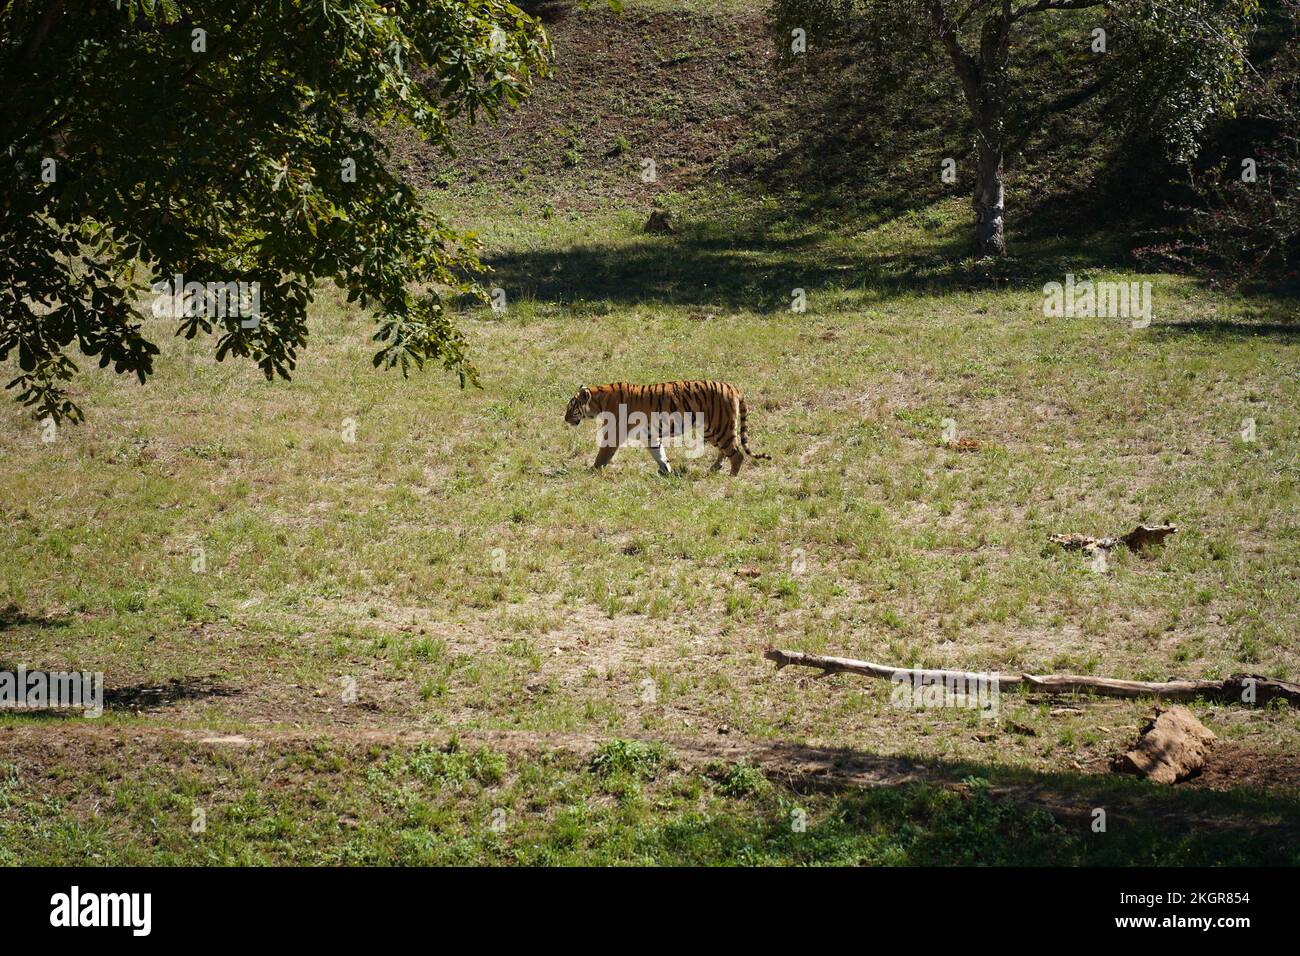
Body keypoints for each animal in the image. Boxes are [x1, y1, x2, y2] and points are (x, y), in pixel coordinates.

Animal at [563, 380, 771, 476]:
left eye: (571, 407)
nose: (565, 419)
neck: (599, 402)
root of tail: (732, 386)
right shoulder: (648, 435)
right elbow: (659, 453)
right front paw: (666, 470)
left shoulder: (614, 432)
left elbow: (603, 454)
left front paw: (592, 470)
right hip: (711, 429)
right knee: (726, 450)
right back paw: (714, 468)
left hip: (721, 427)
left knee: (736, 454)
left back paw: (731, 476)